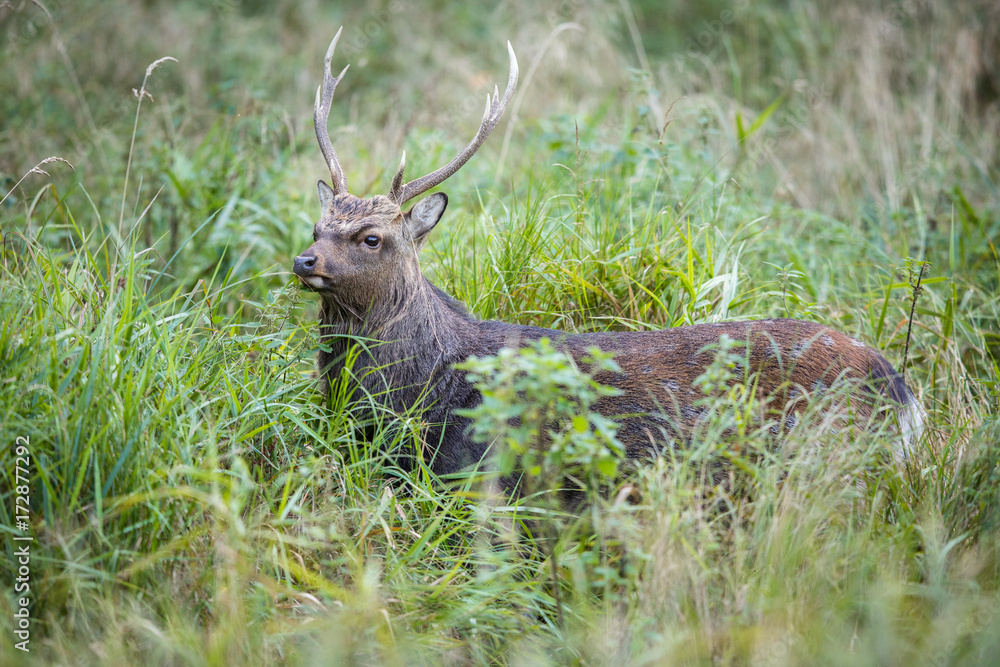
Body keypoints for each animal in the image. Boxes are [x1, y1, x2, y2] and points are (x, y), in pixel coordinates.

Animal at [292, 28, 923, 485]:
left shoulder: (470, 466)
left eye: (372, 237)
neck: (415, 387)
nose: (305, 262)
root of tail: (898, 386)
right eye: (317, 225)